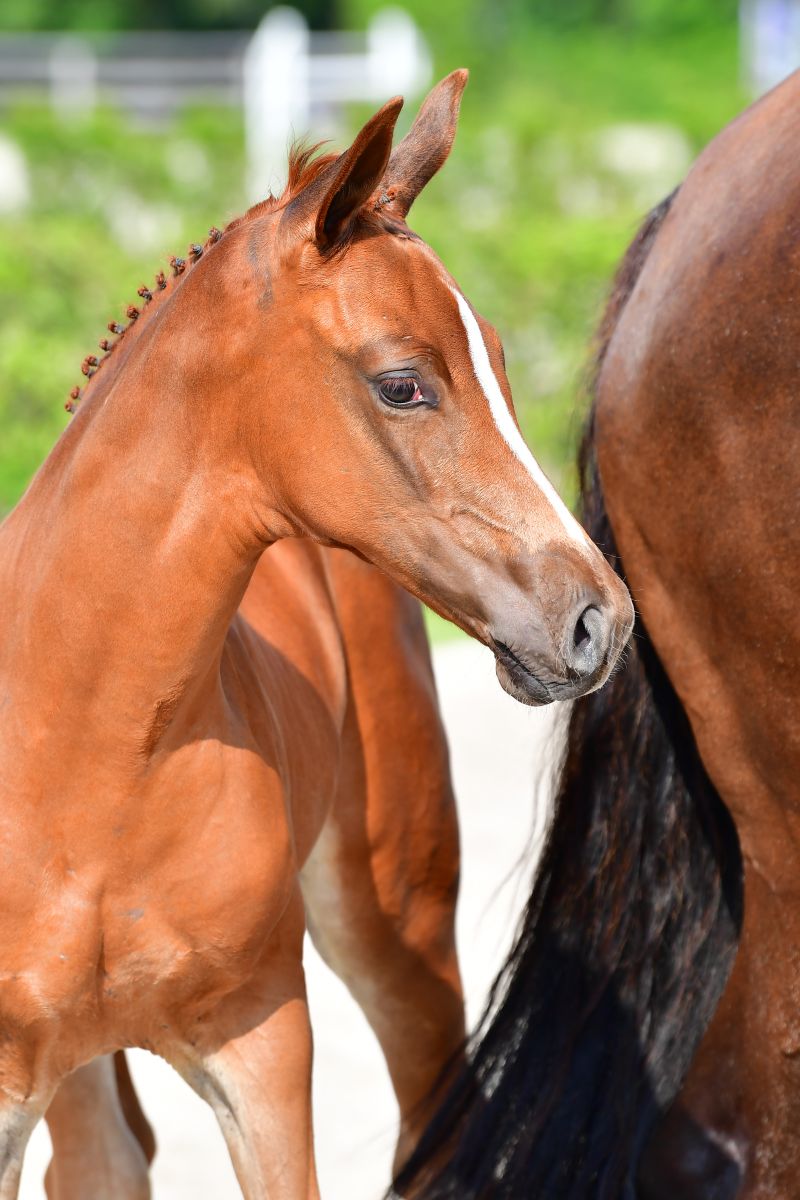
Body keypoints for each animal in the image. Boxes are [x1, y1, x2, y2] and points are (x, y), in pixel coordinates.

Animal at [0, 70, 633, 1200]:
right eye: (402, 383)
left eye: (501, 362)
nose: (595, 619)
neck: (84, 757)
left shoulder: (260, 1044)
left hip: (398, 917)